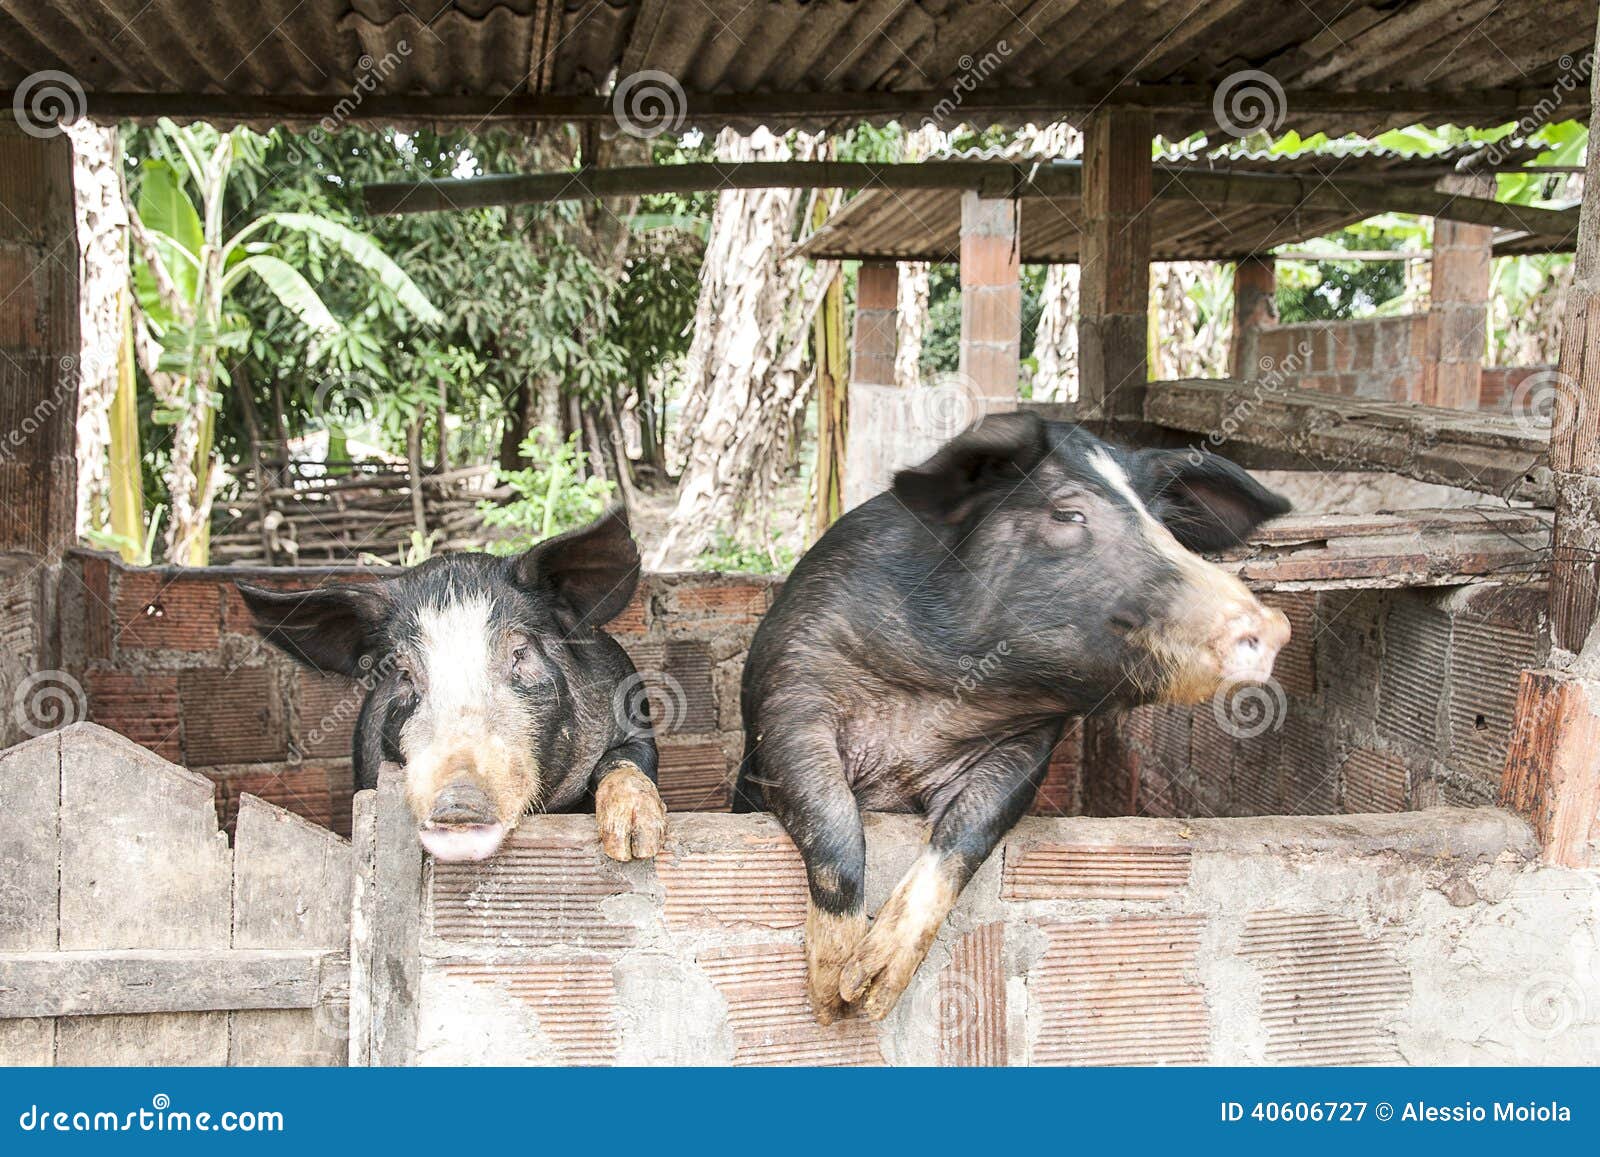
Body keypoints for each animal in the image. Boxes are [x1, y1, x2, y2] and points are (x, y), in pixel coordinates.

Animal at [237, 506, 666, 865]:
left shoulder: (632, 717)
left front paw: (635, 843)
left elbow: (623, 762)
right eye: (403, 673)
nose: (458, 803)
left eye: (520, 653)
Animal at [733, 412, 1291, 1024]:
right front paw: (834, 996)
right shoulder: (788, 692)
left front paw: (872, 989)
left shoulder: (1027, 746)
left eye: (1164, 524)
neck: (940, 694)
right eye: (1068, 514)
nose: (1274, 625)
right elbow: (829, 813)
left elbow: (972, 829)